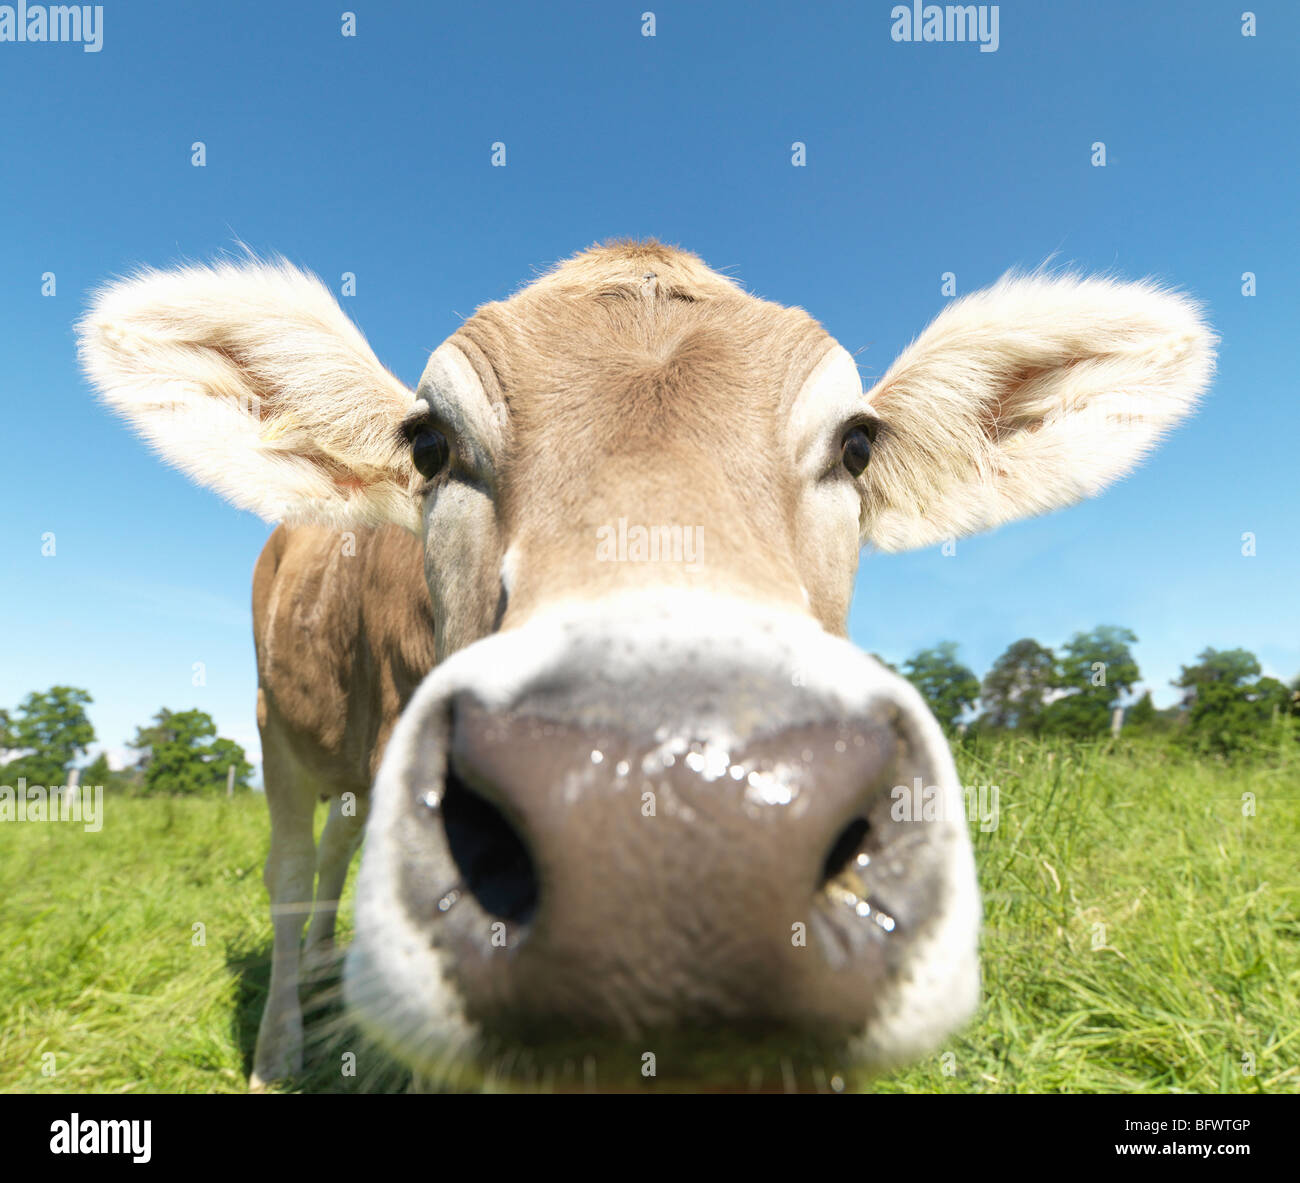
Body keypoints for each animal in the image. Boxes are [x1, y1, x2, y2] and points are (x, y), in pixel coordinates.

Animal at [78, 241, 1214, 1091]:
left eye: (857, 445)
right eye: (431, 444)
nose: (672, 832)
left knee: (332, 855)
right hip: (276, 729)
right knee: (288, 870)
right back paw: (280, 1044)